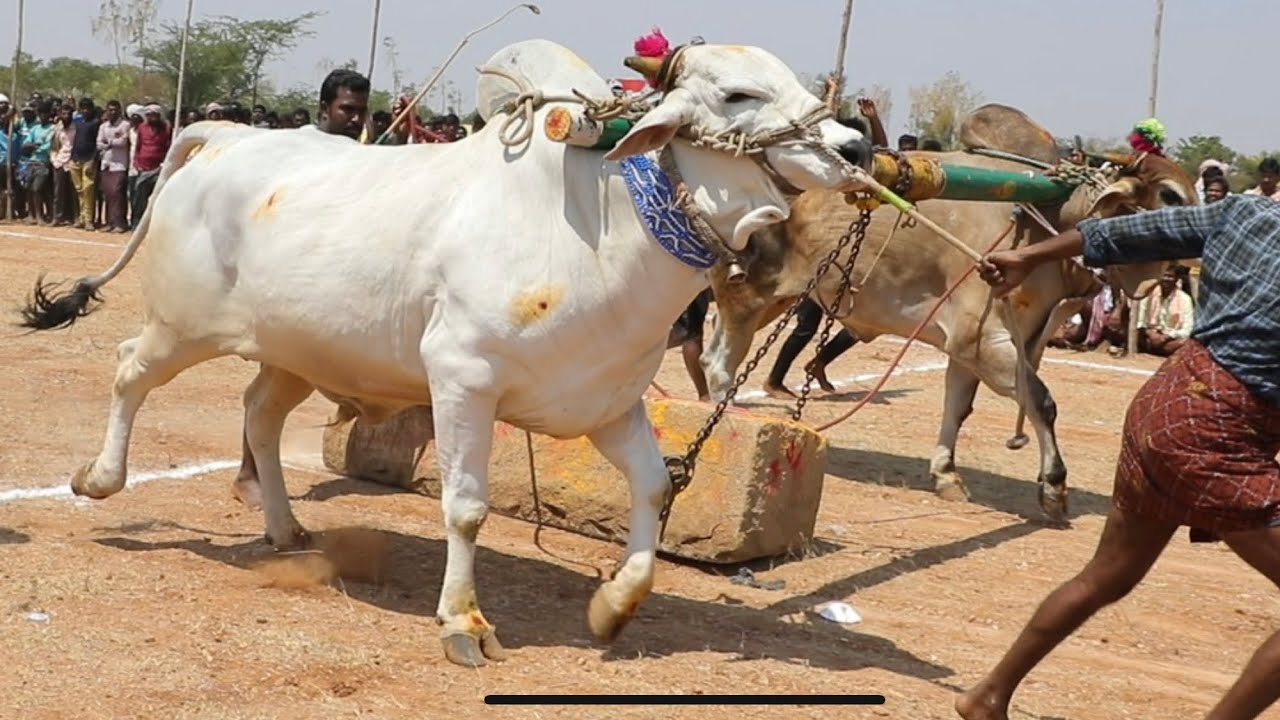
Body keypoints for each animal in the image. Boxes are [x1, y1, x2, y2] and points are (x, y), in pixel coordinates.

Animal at [17, 38, 874, 667]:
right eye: (738, 95)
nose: (856, 145)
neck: (606, 226)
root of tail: (226, 135)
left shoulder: (608, 404)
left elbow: (657, 489)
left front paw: (613, 607)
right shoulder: (465, 381)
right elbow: (466, 507)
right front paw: (463, 622)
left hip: (296, 351)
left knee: (259, 413)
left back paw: (285, 528)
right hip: (181, 326)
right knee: (129, 369)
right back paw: (100, 479)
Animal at [700, 104, 1197, 522]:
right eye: (1171, 195)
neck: (1046, 210)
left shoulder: (978, 345)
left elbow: (959, 406)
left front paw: (945, 474)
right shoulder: (981, 337)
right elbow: (1041, 400)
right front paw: (1054, 487)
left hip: (777, 298)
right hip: (747, 292)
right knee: (719, 362)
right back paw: (726, 417)